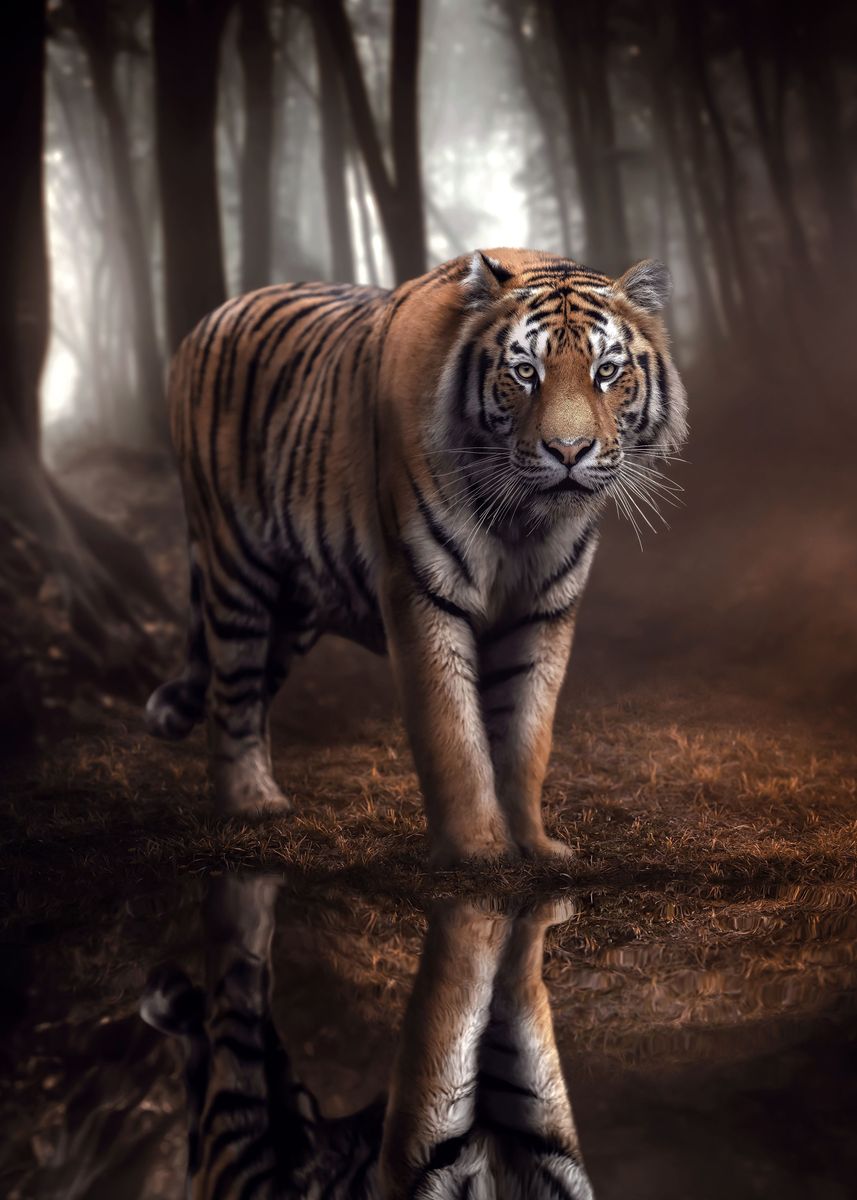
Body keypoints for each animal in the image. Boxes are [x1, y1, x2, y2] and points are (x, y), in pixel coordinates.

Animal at [145, 249, 687, 865]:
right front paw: (477, 851)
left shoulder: (545, 610)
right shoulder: (422, 590)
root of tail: (208, 319)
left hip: (296, 604)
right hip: (237, 566)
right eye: (526, 372)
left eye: (607, 372)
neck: (523, 522)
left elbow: (527, 735)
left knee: (256, 692)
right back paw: (250, 804)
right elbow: (452, 732)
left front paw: (533, 845)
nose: (568, 451)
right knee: (229, 694)